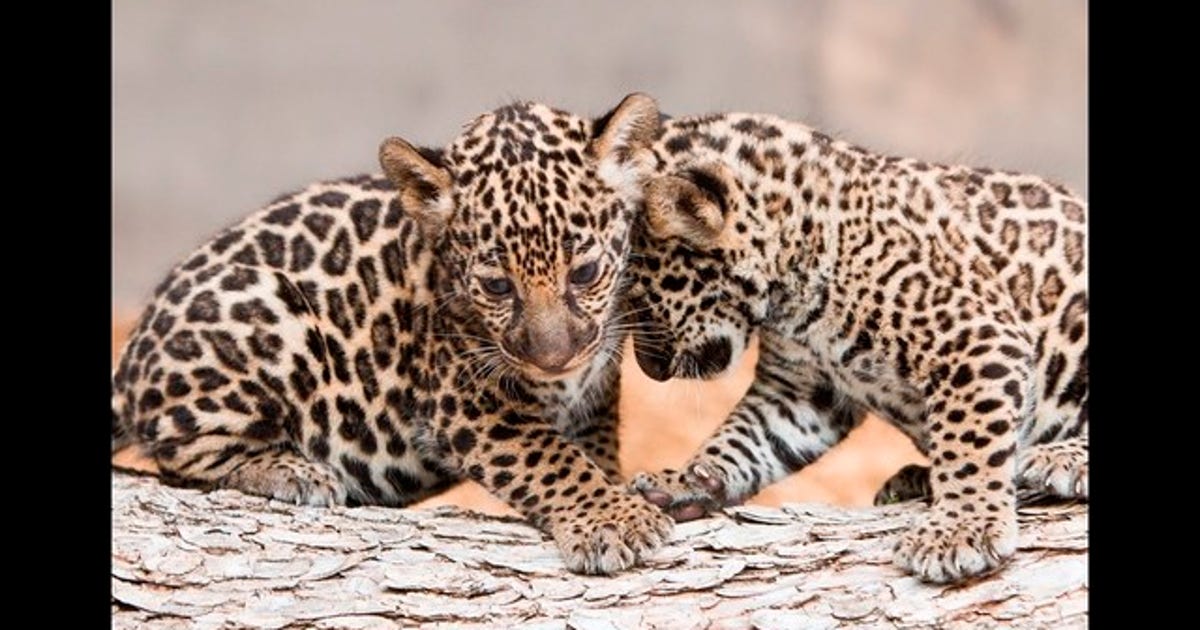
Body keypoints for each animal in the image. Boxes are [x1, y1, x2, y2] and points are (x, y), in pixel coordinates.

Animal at [111, 93, 673, 575]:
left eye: (584, 273)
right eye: (497, 285)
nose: (554, 358)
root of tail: (135, 350)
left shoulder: (595, 392)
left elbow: (592, 448)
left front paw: (615, 493)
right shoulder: (466, 404)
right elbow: (550, 460)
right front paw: (612, 519)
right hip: (268, 310)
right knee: (177, 447)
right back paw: (294, 471)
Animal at [617, 109, 1087, 583]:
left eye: (637, 299)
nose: (650, 369)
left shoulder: (973, 338)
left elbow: (969, 441)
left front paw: (961, 529)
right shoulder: (798, 390)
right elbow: (745, 438)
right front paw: (688, 480)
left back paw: (1060, 459)